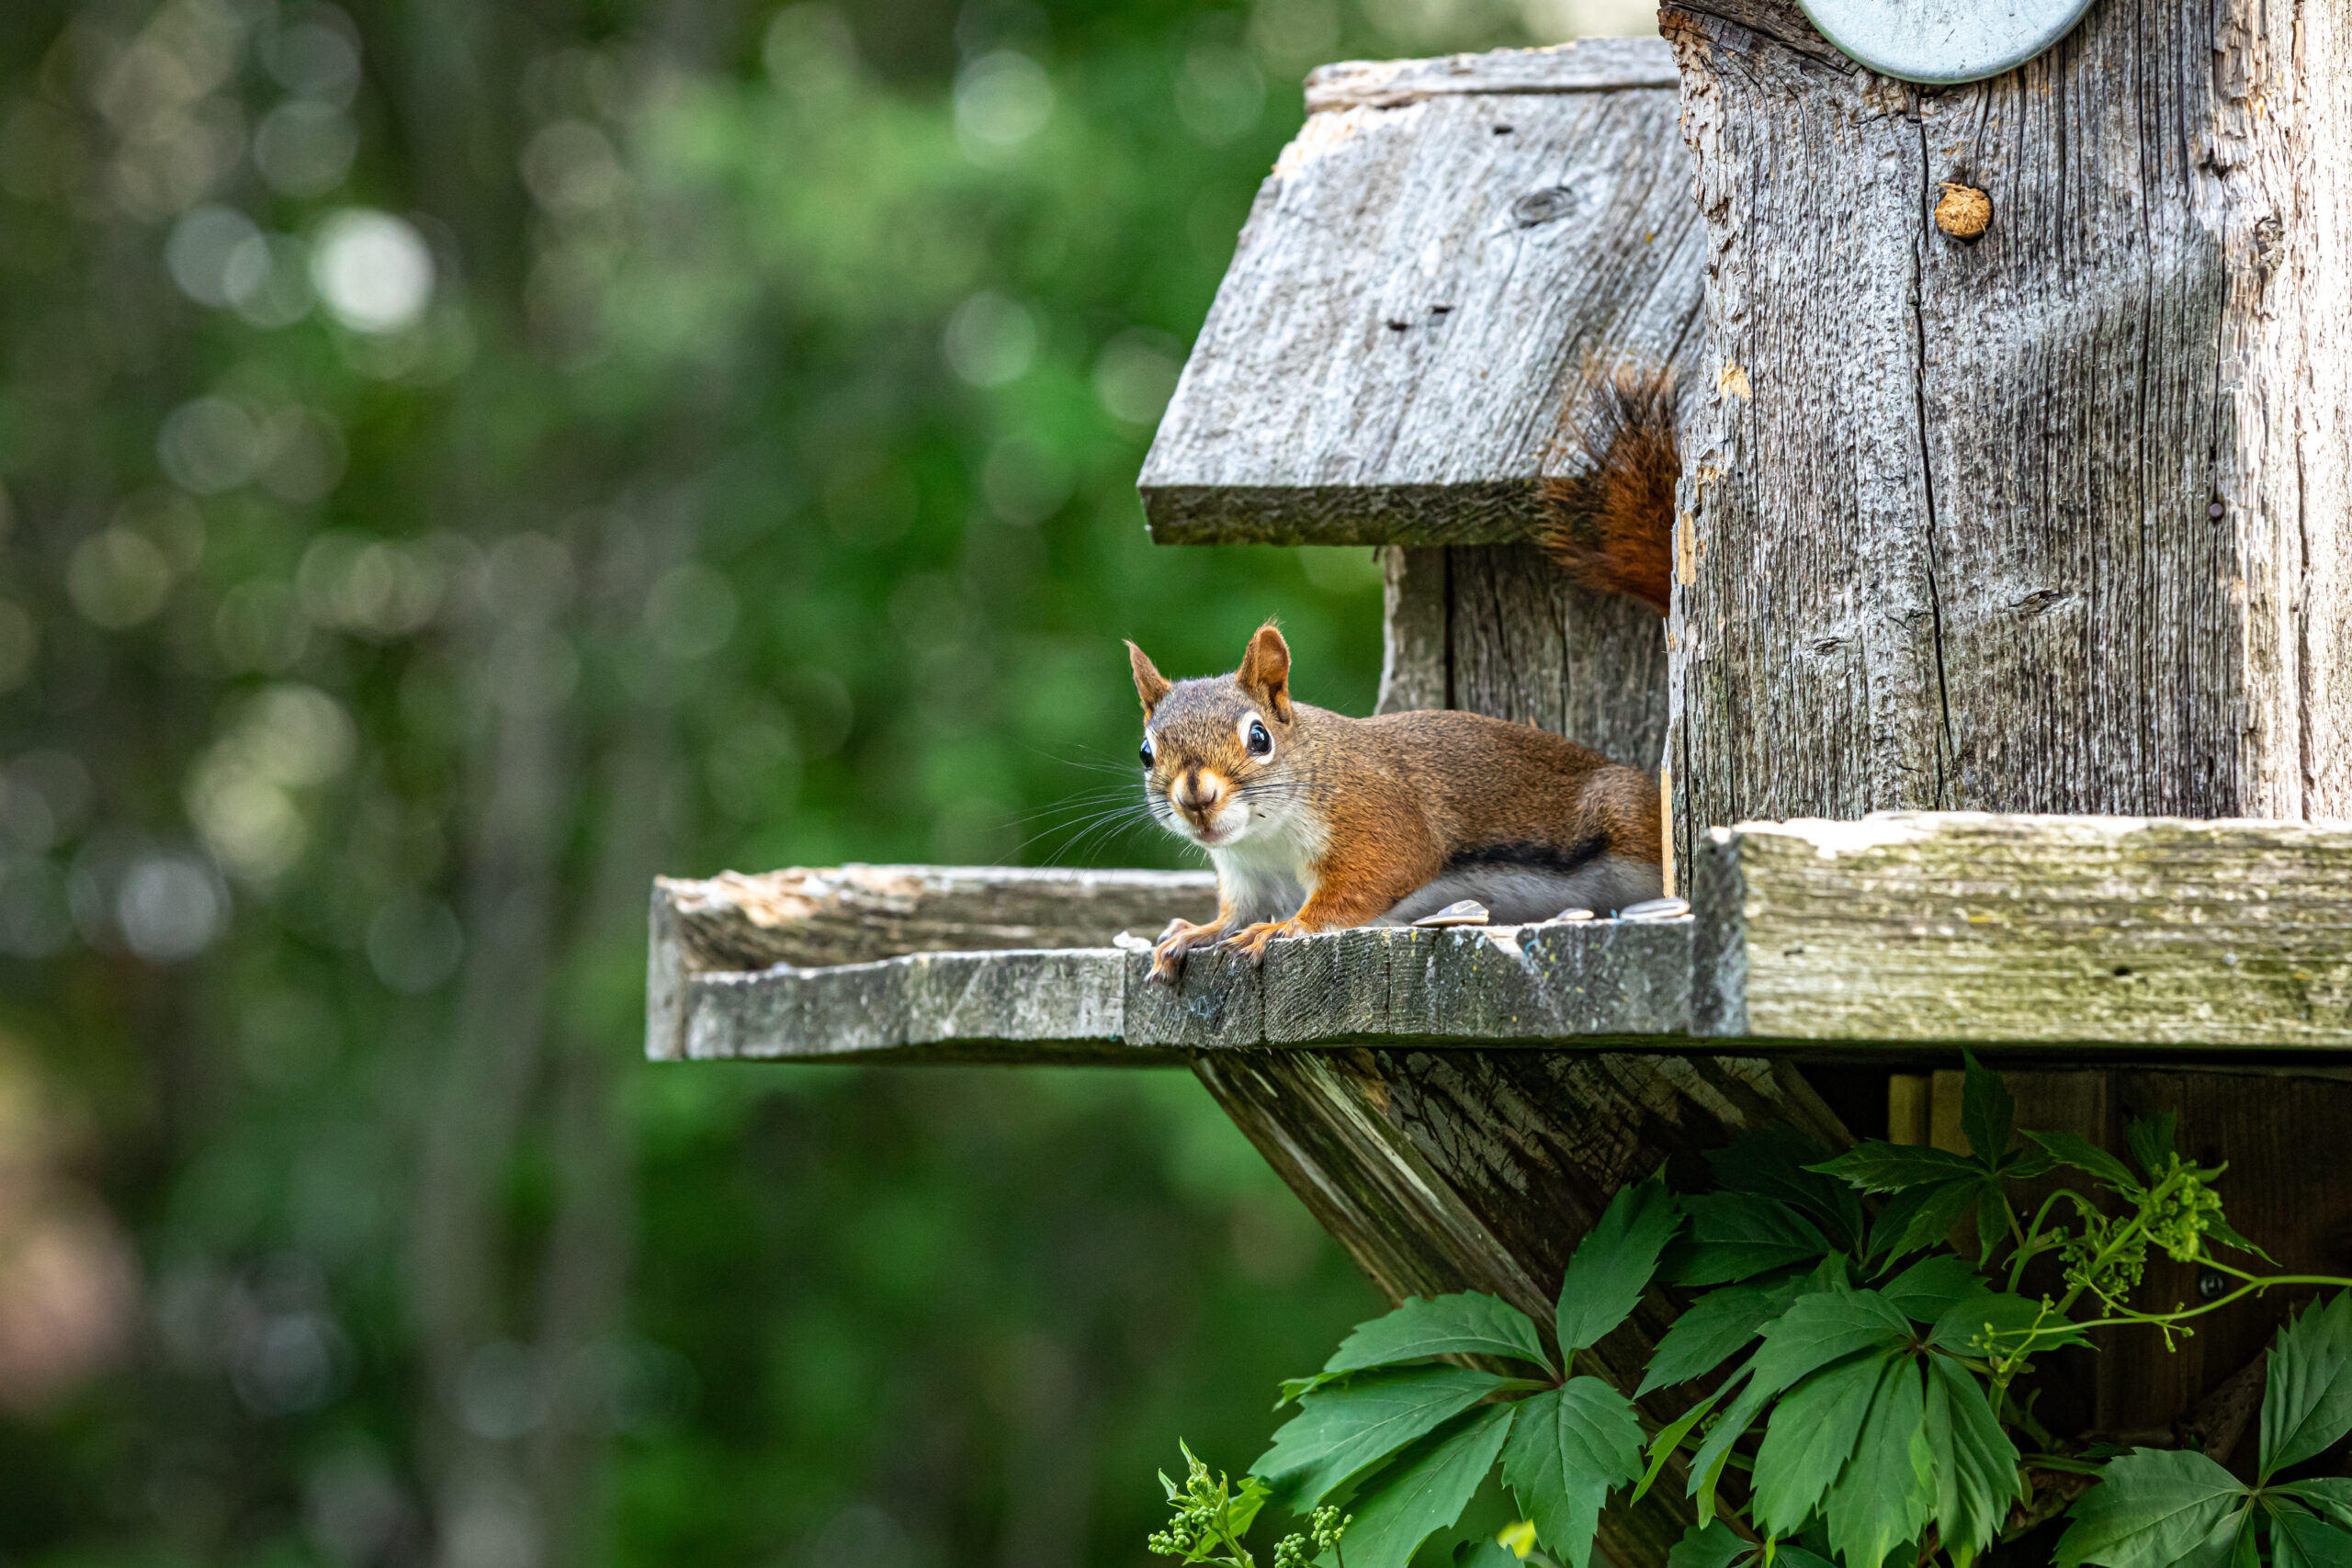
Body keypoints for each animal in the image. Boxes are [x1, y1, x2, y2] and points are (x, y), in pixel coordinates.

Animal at [1126, 624, 1663, 983]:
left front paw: (1285, 928)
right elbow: (1233, 917)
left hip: (1627, 816)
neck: (1265, 840)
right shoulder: (1249, 878)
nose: (1196, 796)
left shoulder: (1375, 816)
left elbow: (1367, 882)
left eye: (1259, 737)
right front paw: (1192, 933)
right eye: (1146, 753)